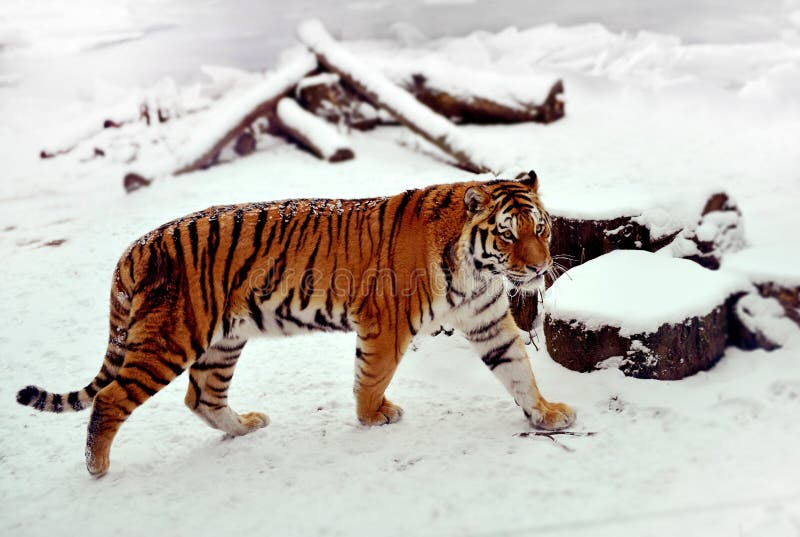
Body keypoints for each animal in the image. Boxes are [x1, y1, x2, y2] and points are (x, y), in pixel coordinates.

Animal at [16, 171, 576, 476]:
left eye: (540, 228)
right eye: (507, 234)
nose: (536, 267)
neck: (478, 269)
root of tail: (134, 247)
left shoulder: (487, 320)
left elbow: (518, 370)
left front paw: (546, 414)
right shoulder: (386, 323)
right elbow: (372, 377)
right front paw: (375, 417)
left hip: (223, 342)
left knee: (202, 398)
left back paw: (244, 426)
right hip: (169, 339)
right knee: (111, 399)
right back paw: (98, 469)